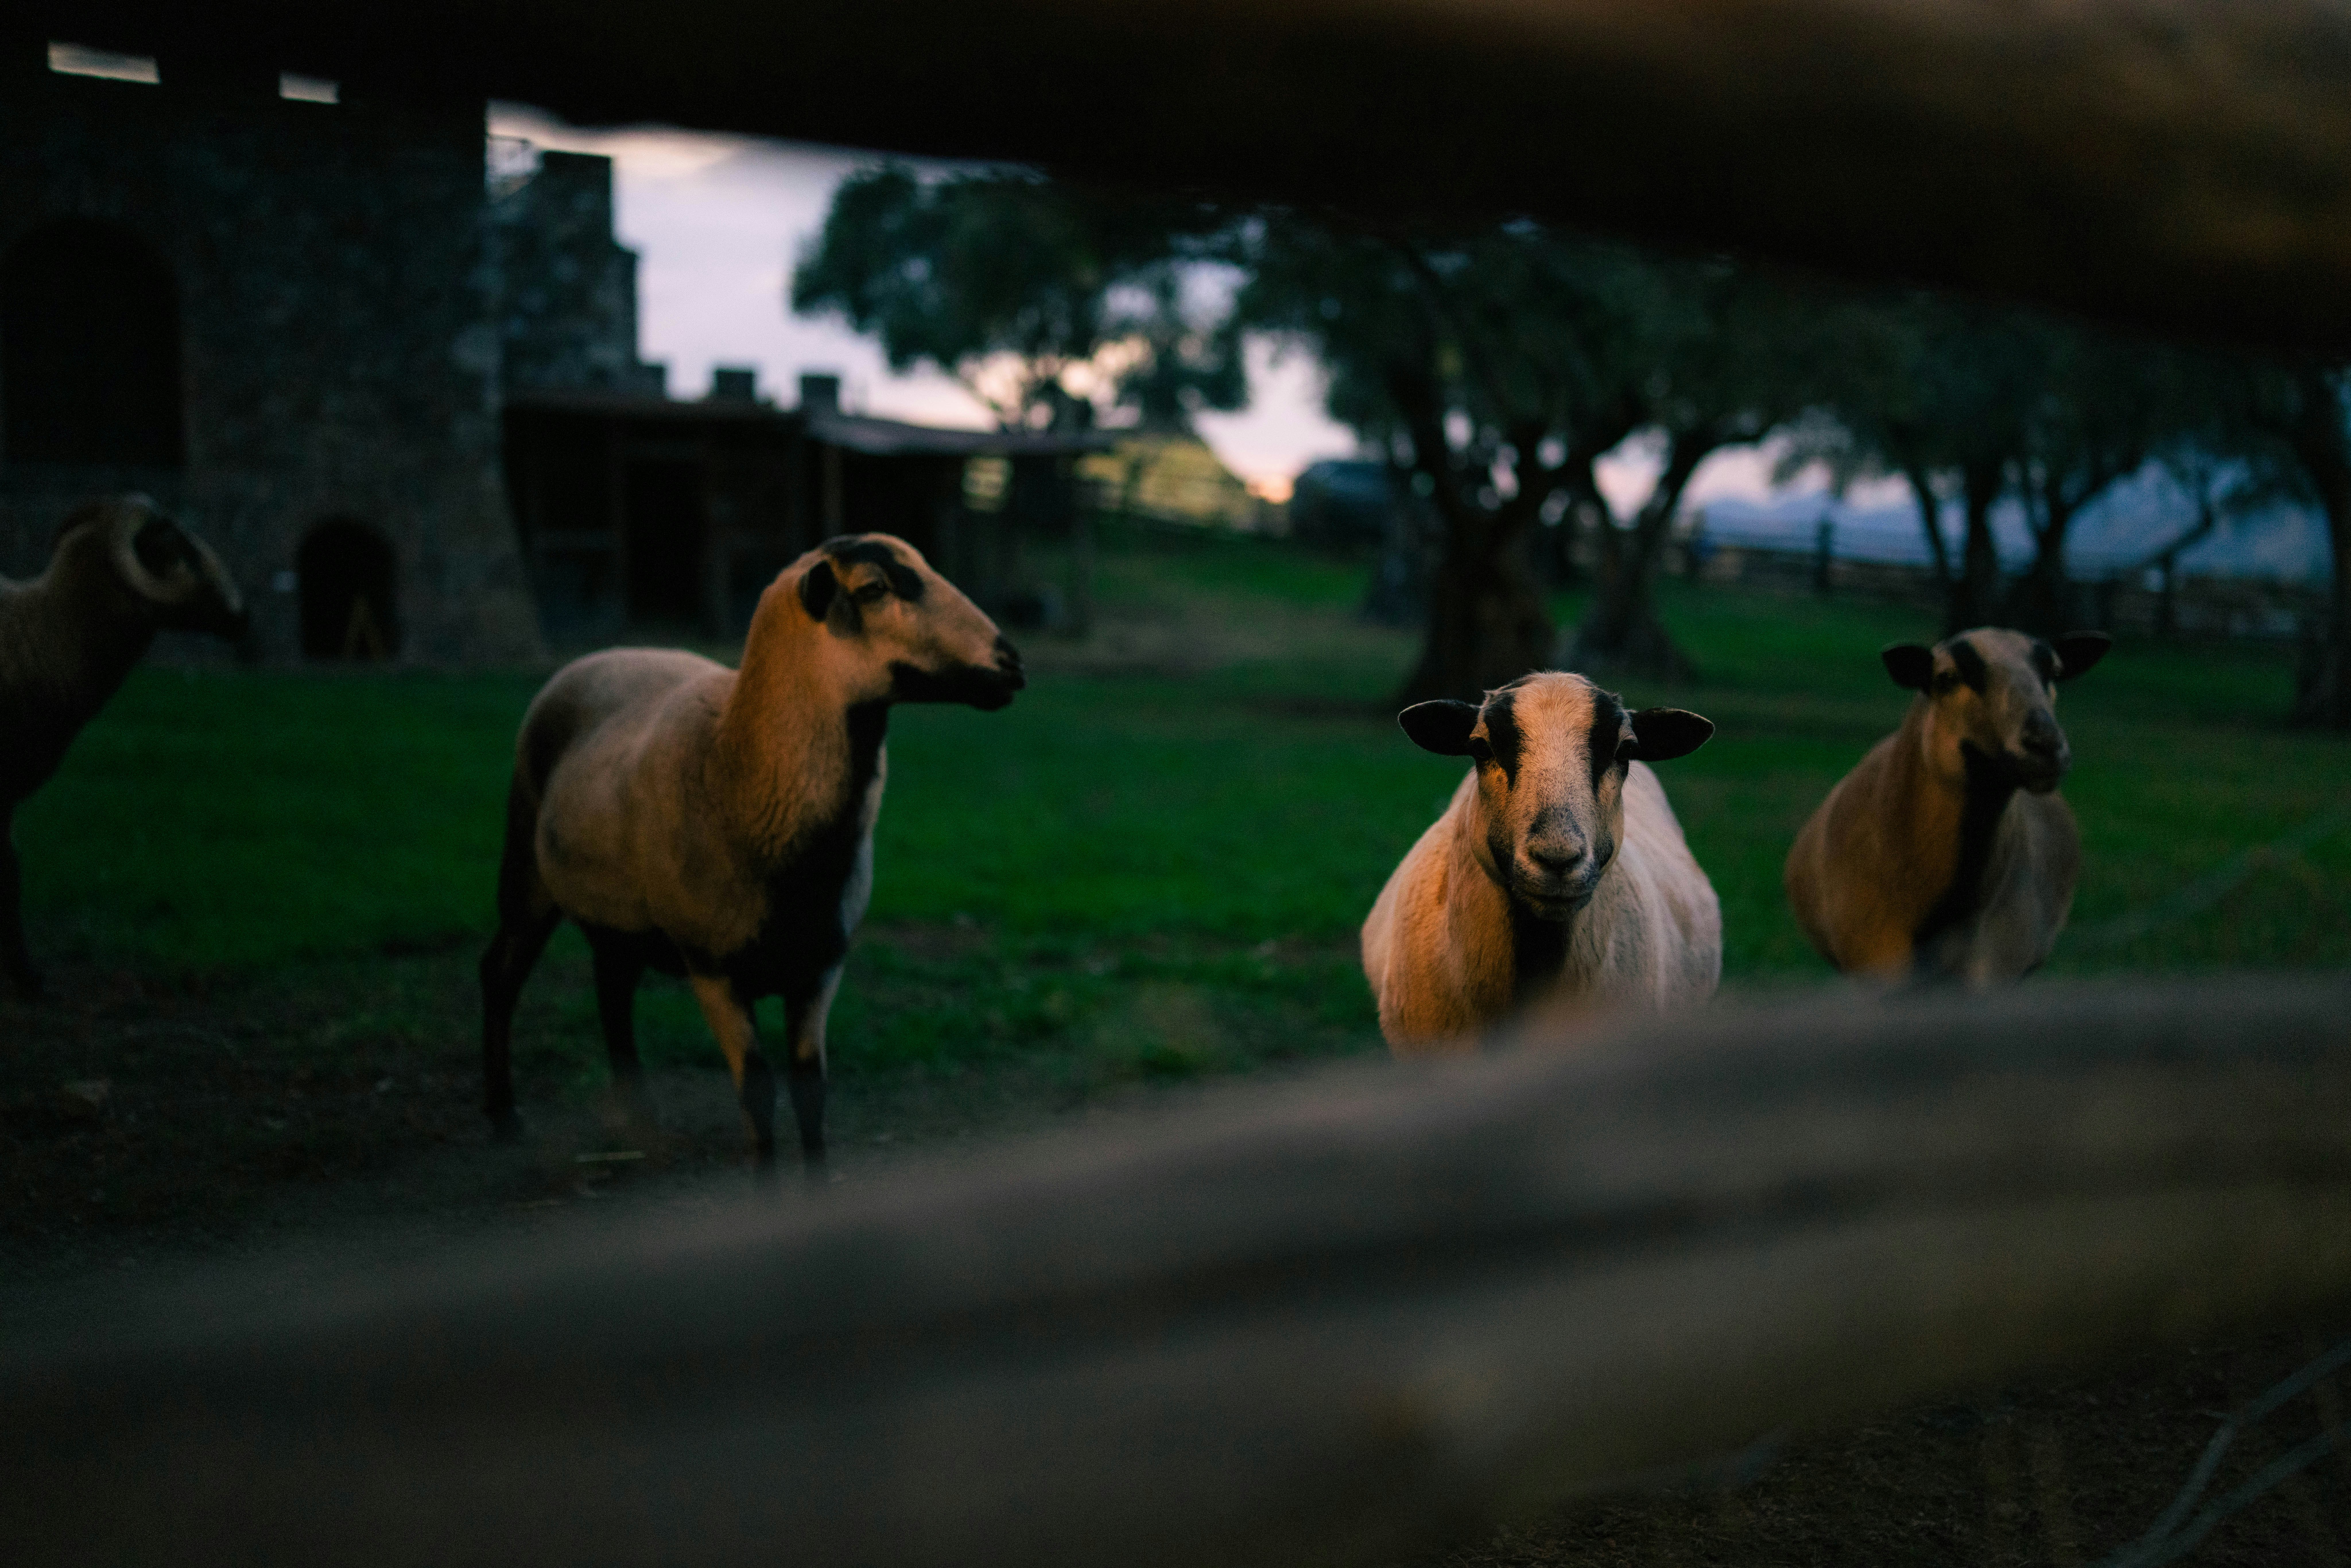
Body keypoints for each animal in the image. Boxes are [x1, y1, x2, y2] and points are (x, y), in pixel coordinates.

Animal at [479, 534, 1025, 1170]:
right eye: (873, 588)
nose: (1012, 663)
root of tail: (607, 651)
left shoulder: (820, 963)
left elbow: (811, 1090)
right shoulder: (712, 967)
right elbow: (758, 1094)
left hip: (620, 912)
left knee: (612, 985)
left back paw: (639, 1116)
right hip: (527, 866)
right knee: (501, 971)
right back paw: (504, 1116)